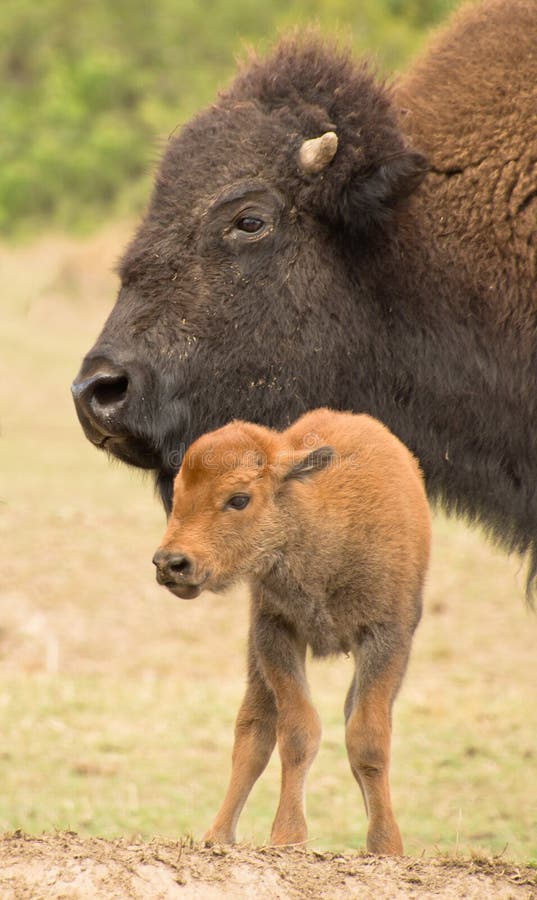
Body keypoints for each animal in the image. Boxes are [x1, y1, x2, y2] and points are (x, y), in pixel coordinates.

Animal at [153, 408, 431, 854]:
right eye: (178, 495)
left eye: (239, 499)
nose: (171, 564)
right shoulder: (275, 632)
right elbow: (298, 731)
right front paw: (288, 837)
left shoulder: (386, 638)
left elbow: (368, 738)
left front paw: (385, 844)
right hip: (256, 656)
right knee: (253, 733)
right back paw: (218, 836)